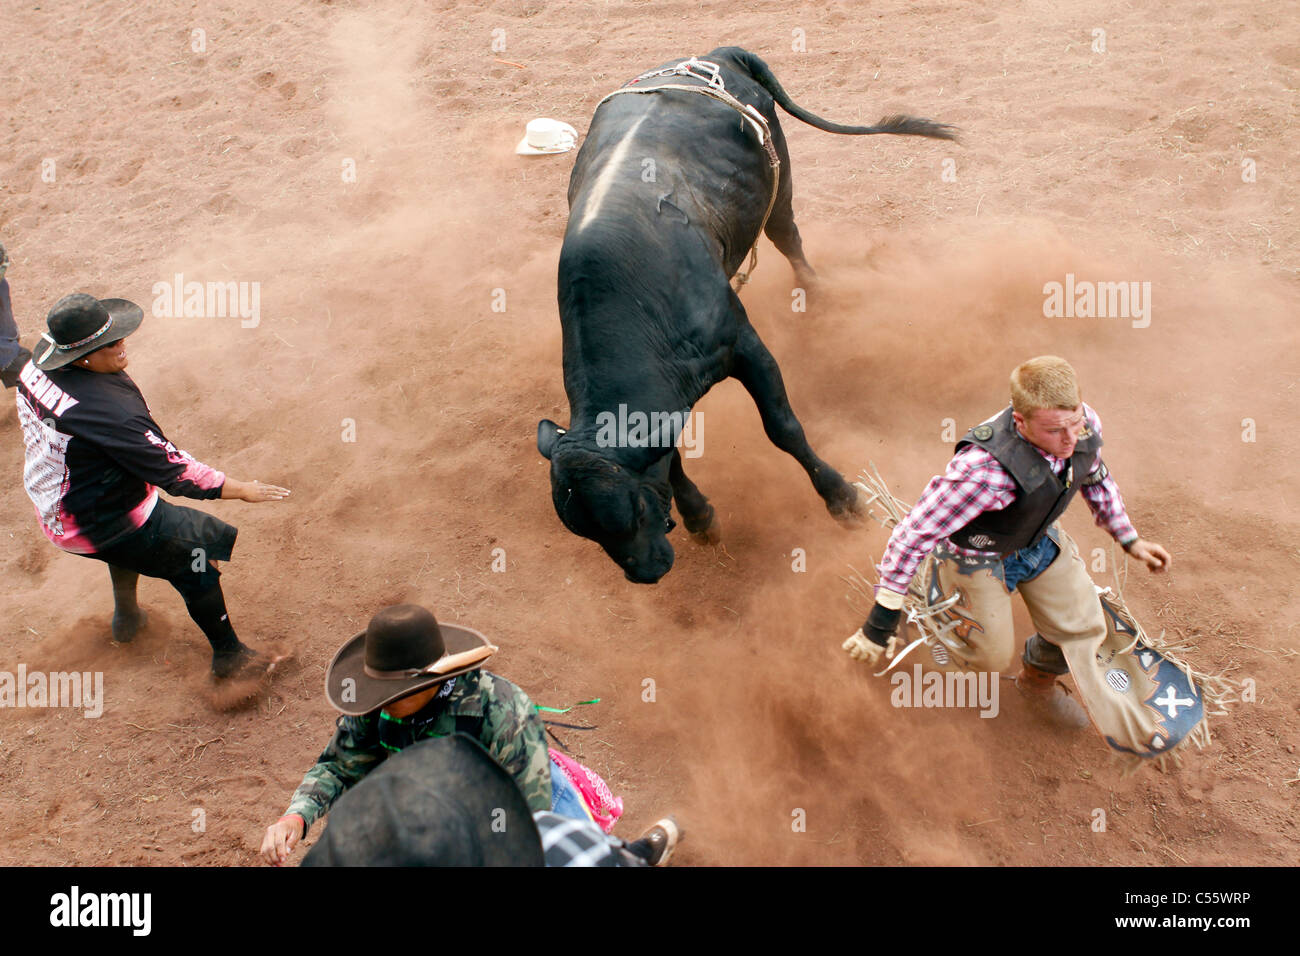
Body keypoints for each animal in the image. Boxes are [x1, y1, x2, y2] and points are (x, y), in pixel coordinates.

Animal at [537, 46, 956, 583]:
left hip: (781, 190)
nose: (645, 573)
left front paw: (843, 500)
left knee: (789, 238)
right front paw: (701, 519)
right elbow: (671, 457)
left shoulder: (744, 346)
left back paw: (816, 294)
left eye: (633, 513)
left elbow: (783, 428)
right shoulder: (660, 409)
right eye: (589, 533)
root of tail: (716, 54)